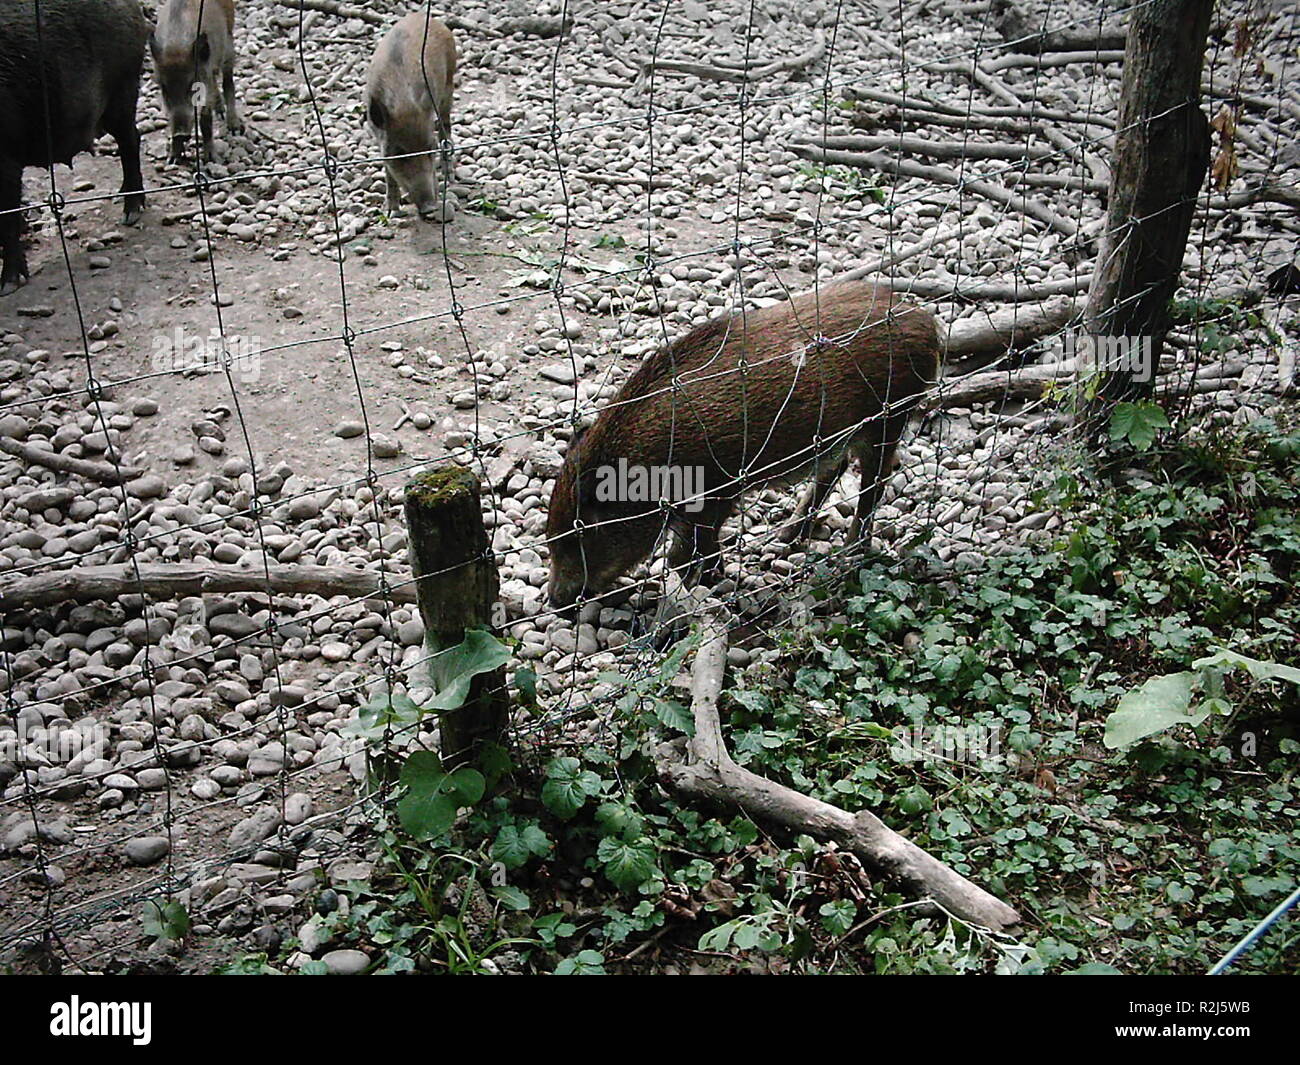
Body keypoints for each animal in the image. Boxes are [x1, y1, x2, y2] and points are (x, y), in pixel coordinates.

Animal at [0, 0, 148, 295]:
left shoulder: (6, 156)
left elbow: (7, 219)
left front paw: (9, 285)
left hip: (123, 88)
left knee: (131, 139)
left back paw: (130, 213)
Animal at [150, 0, 241, 165]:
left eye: (193, 86)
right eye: (164, 89)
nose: (180, 133)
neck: (176, 45)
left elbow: (205, 119)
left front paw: (212, 159)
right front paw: (172, 160)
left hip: (229, 45)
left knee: (228, 83)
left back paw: (234, 127)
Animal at [365, 13, 457, 223]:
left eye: (430, 149)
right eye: (400, 153)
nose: (430, 207)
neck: (403, 103)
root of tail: (424, 16)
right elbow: (389, 173)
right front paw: (391, 213)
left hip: (449, 83)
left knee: (445, 128)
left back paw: (449, 174)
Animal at [545, 283, 941, 609]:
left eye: (582, 534)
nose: (555, 601)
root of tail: (927, 323)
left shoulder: (717, 490)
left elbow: (687, 550)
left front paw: (691, 583)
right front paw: (712, 574)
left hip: (889, 416)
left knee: (875, 481)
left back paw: (850, 554)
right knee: (836, 467)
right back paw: (786, 536)